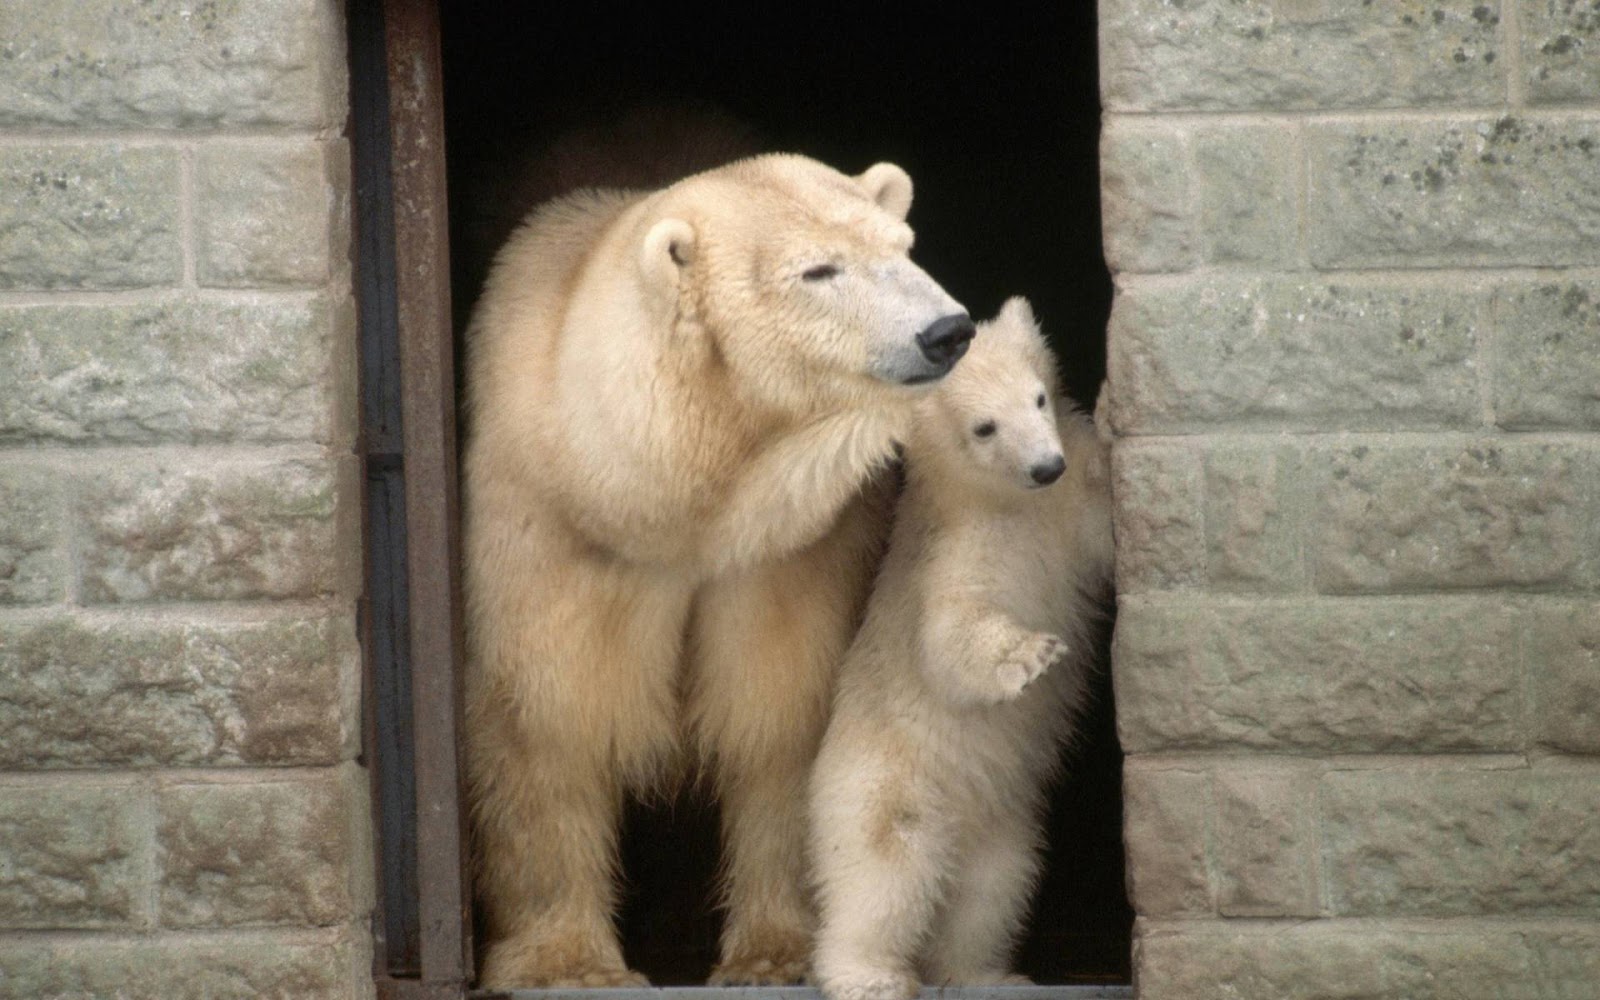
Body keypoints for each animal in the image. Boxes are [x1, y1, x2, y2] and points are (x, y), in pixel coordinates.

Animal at [461, 153, 975, 989]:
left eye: (902, 246)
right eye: (818, 269)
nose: (947, 331)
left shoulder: (785, 550)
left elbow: (777, 713)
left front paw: (775, 957)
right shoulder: (544, 522)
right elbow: (550, 718)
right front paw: (568, 965)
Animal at [807, 297, 1115, 1000]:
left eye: (1037, 398)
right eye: (984, 428)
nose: (1046, 466)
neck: (1008, 504)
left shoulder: (1065, 521)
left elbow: (1102, 524)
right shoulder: (950, 555)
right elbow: (951, 640)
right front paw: (1029, 658)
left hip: (1003, 819)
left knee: (992, 891)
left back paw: (990, 973)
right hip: (887, 788)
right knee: (883, 878)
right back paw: (870, 974)